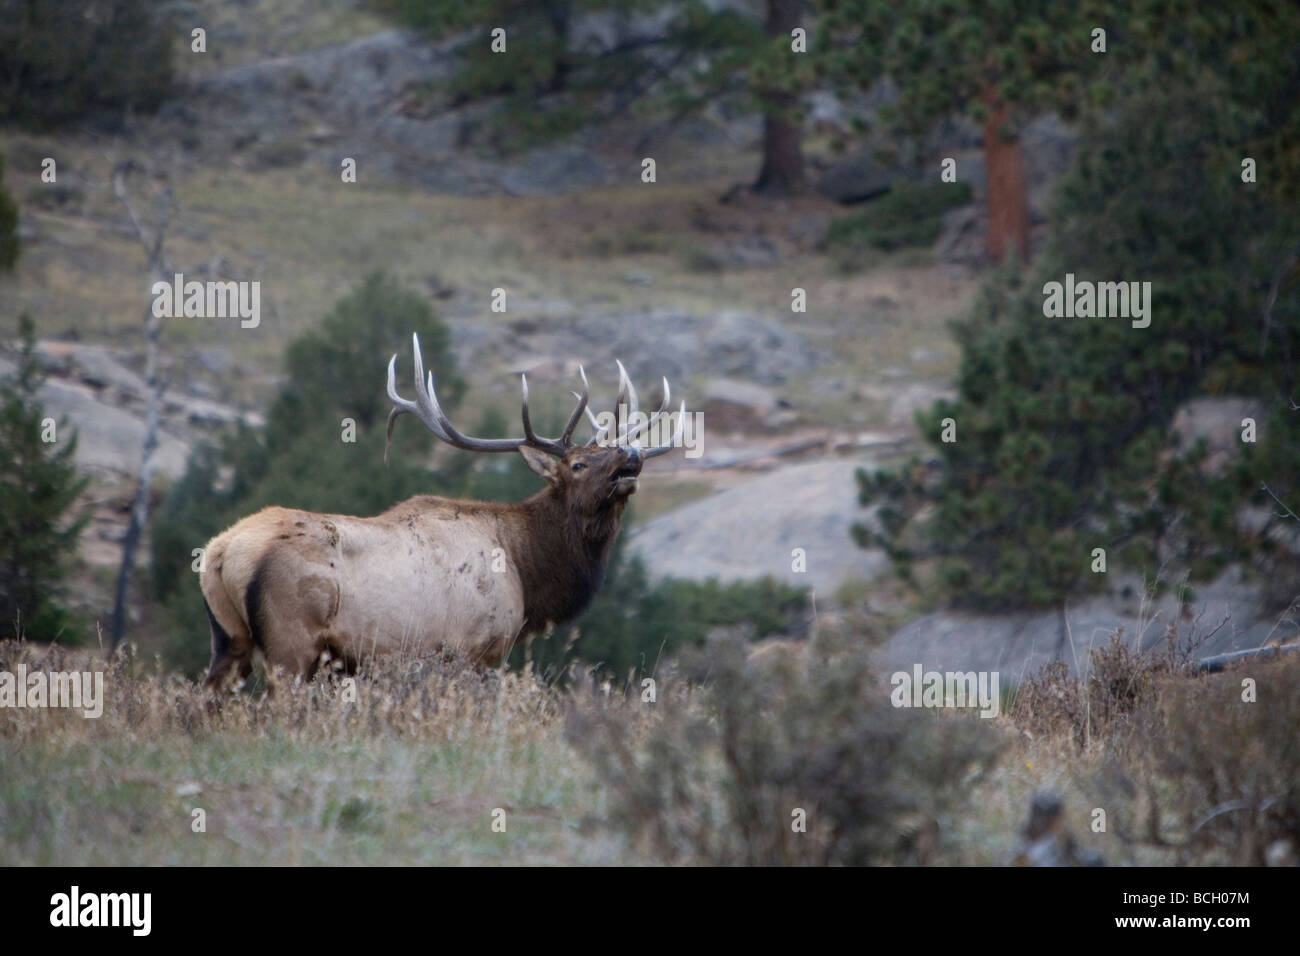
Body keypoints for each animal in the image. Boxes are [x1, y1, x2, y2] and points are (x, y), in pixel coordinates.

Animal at [199, 334, 685, 692]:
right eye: (579, 464)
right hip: (291, 642)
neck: (526, 572)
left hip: (228, 641)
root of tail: (221, 551)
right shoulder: (474, 649)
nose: (631, 455)